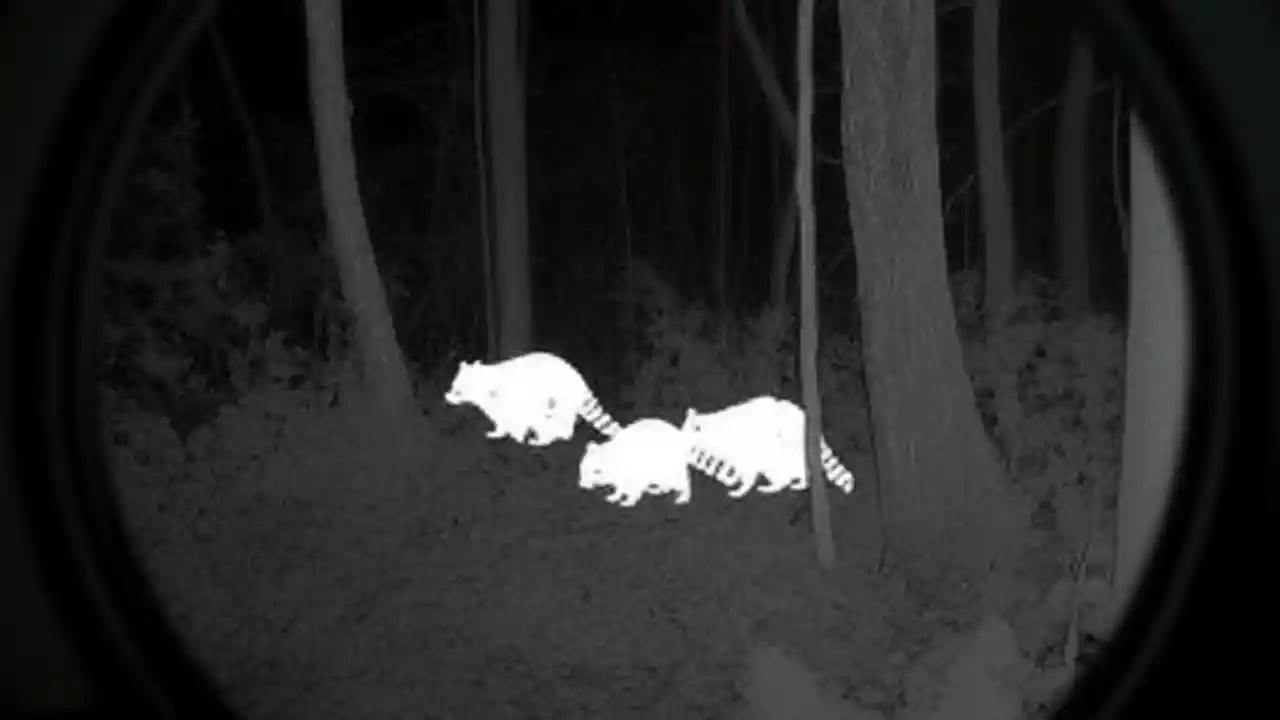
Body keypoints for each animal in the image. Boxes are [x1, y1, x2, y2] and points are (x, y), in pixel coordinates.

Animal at [444, 351, 622, 446]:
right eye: (453, 387)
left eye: (457, 391)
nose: (447, 397)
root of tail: (580, 380)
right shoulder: (495, 405)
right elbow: (501, 418)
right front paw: (499, 432)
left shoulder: (511, 397)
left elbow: (517, 417)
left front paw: (516, 436)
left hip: (560, 396)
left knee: (558, 418)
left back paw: (556, 435)